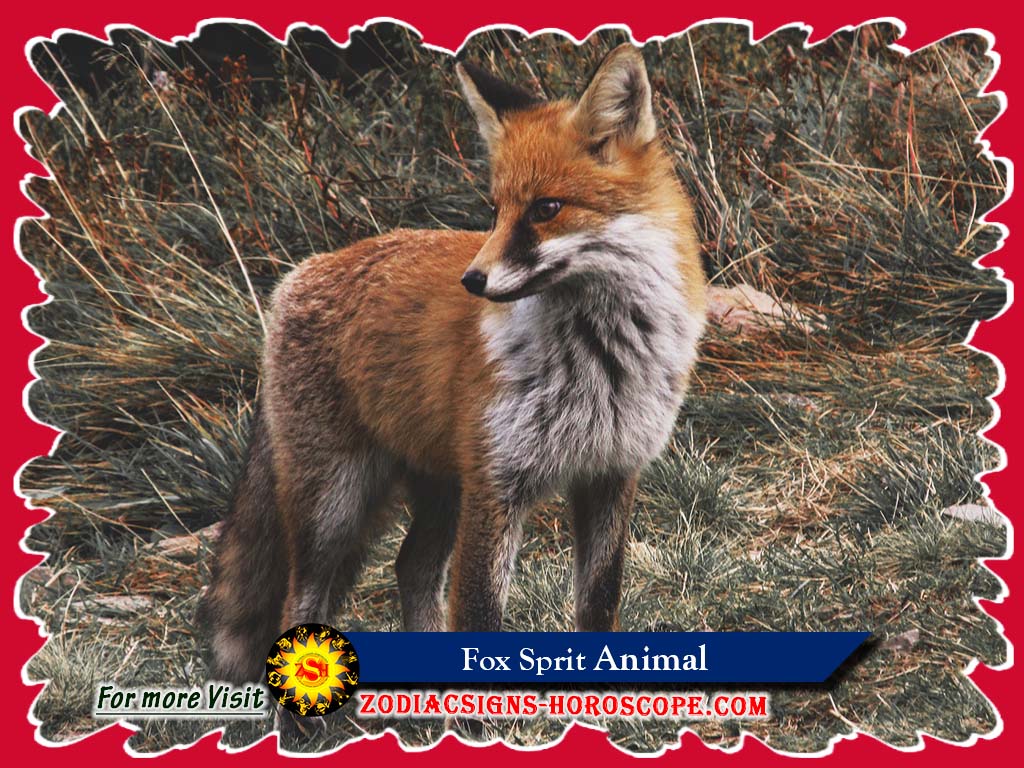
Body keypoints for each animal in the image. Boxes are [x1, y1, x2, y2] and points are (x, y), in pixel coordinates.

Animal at [200, 43, 707, 686]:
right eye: (495, 211)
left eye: (546, 208)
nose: (473, 280)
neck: (599, 360)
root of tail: (300, 273)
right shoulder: (496, 484)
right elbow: (481, 618)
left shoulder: (610, 473)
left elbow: (597, 609)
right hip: (334, 505)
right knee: (301, 599)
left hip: (439, 487)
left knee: (411, 566)